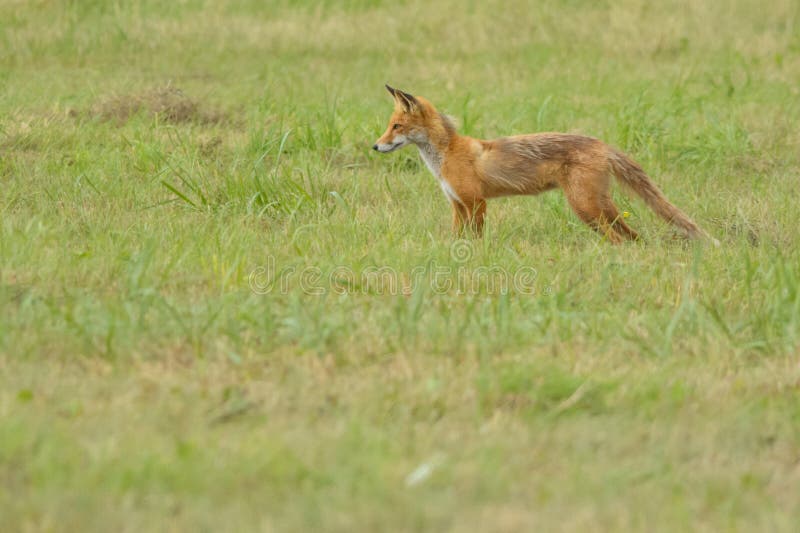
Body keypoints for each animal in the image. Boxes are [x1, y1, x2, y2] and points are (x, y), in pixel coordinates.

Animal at [373, 85, 712, 244]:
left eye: (396, 127)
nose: (375, 146)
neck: (446, 154)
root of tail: (601, 144)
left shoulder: (477, 202)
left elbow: (477, 239)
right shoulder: (457, 205)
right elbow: (457, 237)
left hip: (585, 207)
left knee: (618, 239)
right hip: (601, 206)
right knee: (634, 238)